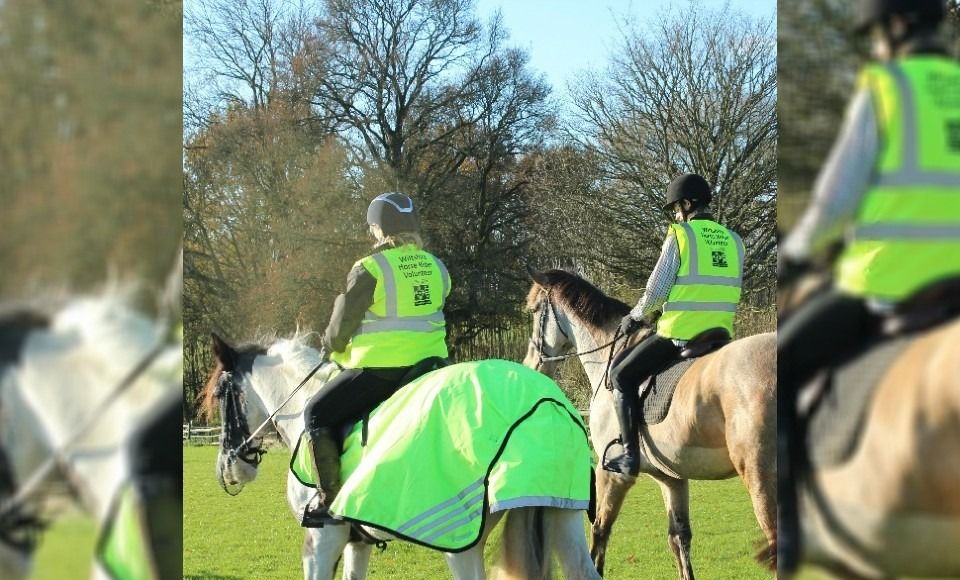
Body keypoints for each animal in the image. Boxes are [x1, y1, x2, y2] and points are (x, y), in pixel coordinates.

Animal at [202, 332, 602, 580]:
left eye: (221, 395)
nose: (227, 468)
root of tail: (542, 406)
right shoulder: (355, 543)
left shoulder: (321, 541)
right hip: (563, 516)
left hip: (460, 544)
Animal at [523, 269, 777, 579]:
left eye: (534, 310)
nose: (532, 364)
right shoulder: (672, 479)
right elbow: (679, 539)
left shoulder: (611, 475)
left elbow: (599, 535)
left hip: (761, 478)